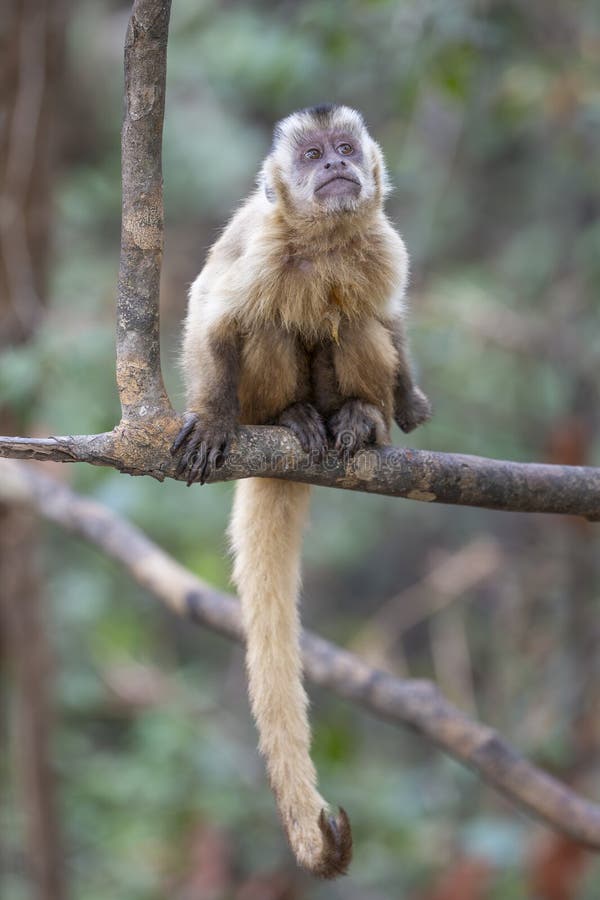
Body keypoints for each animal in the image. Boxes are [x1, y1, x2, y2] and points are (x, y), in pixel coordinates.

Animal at [171, 104, 431, 878]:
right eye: (311, 156)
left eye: (344, 148)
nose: (336, 167)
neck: (326, 240)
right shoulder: (260, 246)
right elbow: (212, 316)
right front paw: (212, 418)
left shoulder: (386, 245)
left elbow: (392, 319)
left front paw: (407, 401)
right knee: (264, 326)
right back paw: (288, 419)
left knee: (360, 322)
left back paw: (360, 418)